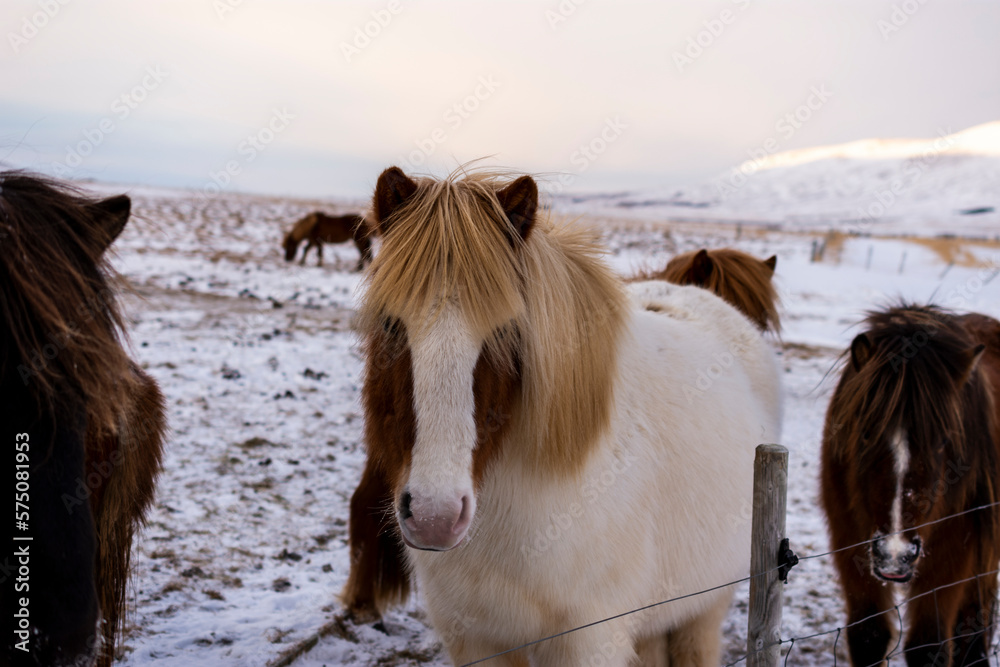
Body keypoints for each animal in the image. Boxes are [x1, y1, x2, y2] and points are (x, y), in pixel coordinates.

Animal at [821, 304, 1000, 666]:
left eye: (943, 441)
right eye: (866, 434)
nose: (896, 554)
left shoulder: (951, 561)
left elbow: (928, 646)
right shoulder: (851, 547)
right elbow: (868, 636)